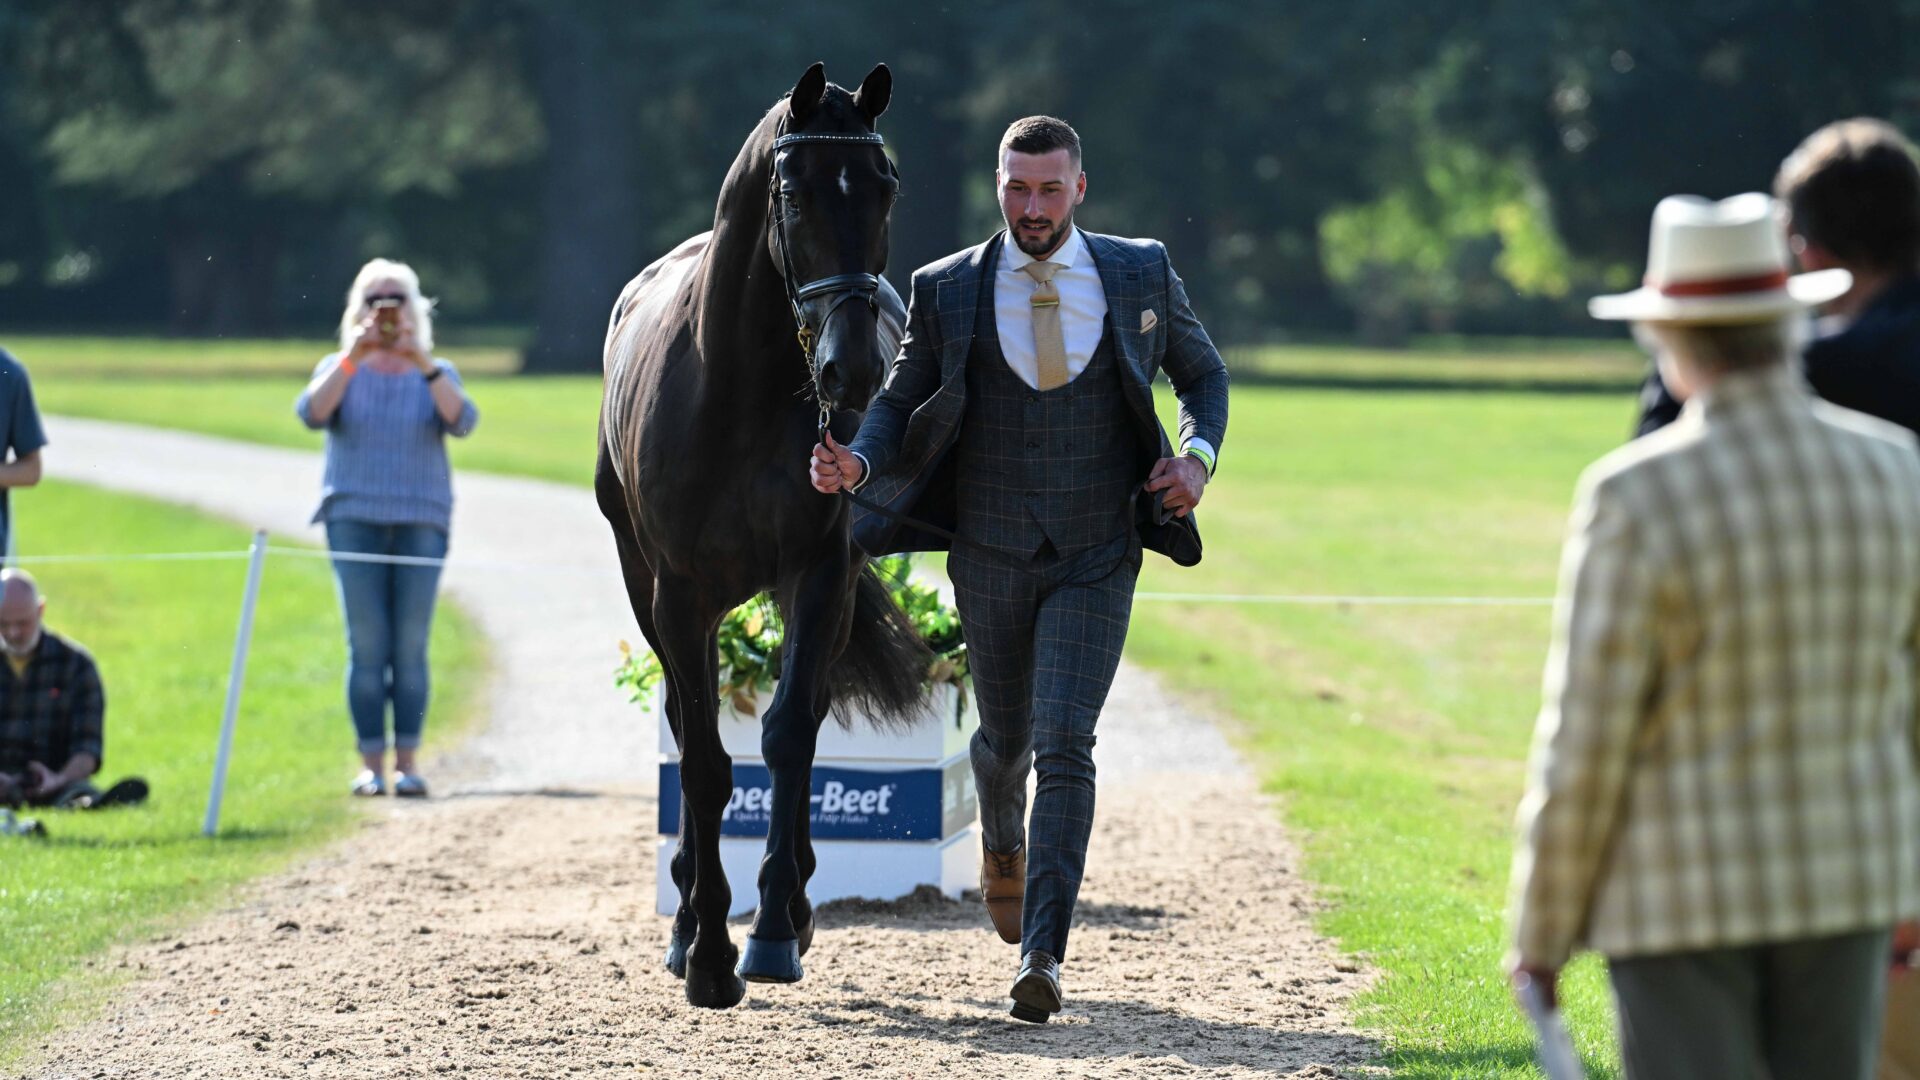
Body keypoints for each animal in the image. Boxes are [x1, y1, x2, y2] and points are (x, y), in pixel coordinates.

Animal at [595, 62, 930, 1010]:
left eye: (885, 185)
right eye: (792, 190)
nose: (853, 370)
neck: (737, 388)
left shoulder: (819, 574)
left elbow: (786, 738)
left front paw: (773, 931)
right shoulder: (680, 596)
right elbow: (705, 761)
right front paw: (707, 953)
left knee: (802, 718)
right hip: (648, 588)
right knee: (686, 721)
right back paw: (683, 926)